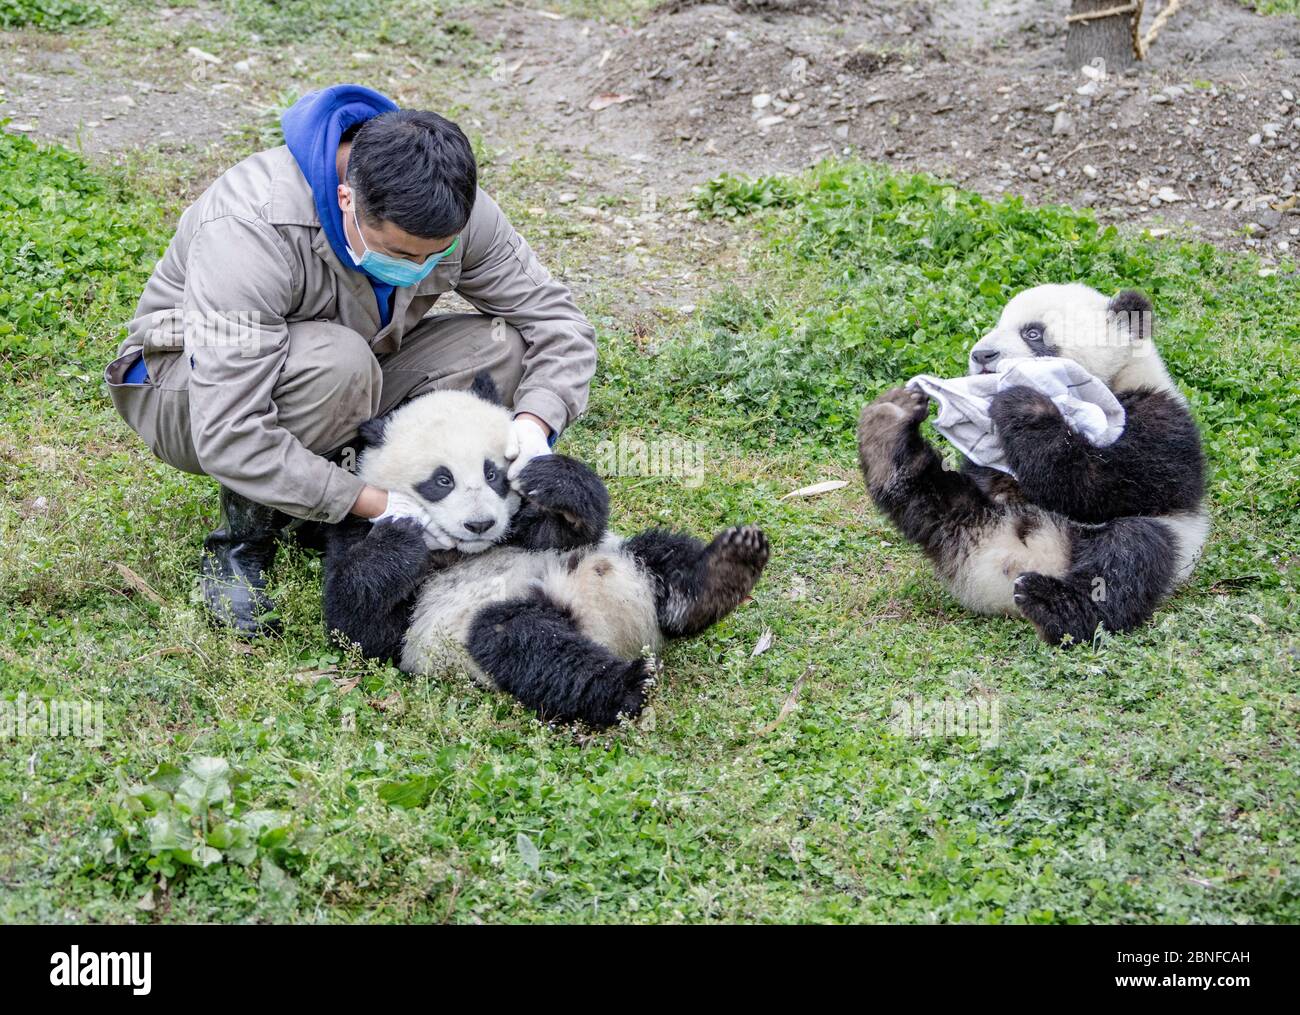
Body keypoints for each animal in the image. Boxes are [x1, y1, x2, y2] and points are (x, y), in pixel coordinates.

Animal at [323, 375, 770, 727]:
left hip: (621, 556)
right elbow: (362, 629)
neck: (467, 552)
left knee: (661, 555)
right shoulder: (358, 535)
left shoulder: (522, 528)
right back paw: (627, 685)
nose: (480, 524)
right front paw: (401, 536)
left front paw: (554, 479)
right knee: (528, 647)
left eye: (493, 473)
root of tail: (617, 629)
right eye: (442, 480)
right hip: (467, 628)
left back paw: (727, 571)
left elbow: (564, 530)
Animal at [856, 284, 1207, 645]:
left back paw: (1050, 603)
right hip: (974, 515)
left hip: (1172, 540)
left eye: (1032, 333)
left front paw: (1023, 403)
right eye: (997, 324)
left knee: (1130, 555)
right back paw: (886, 431)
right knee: (931, 498)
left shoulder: (1159, 420)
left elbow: (1103, 483)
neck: (1113, 381)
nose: (982, 355)